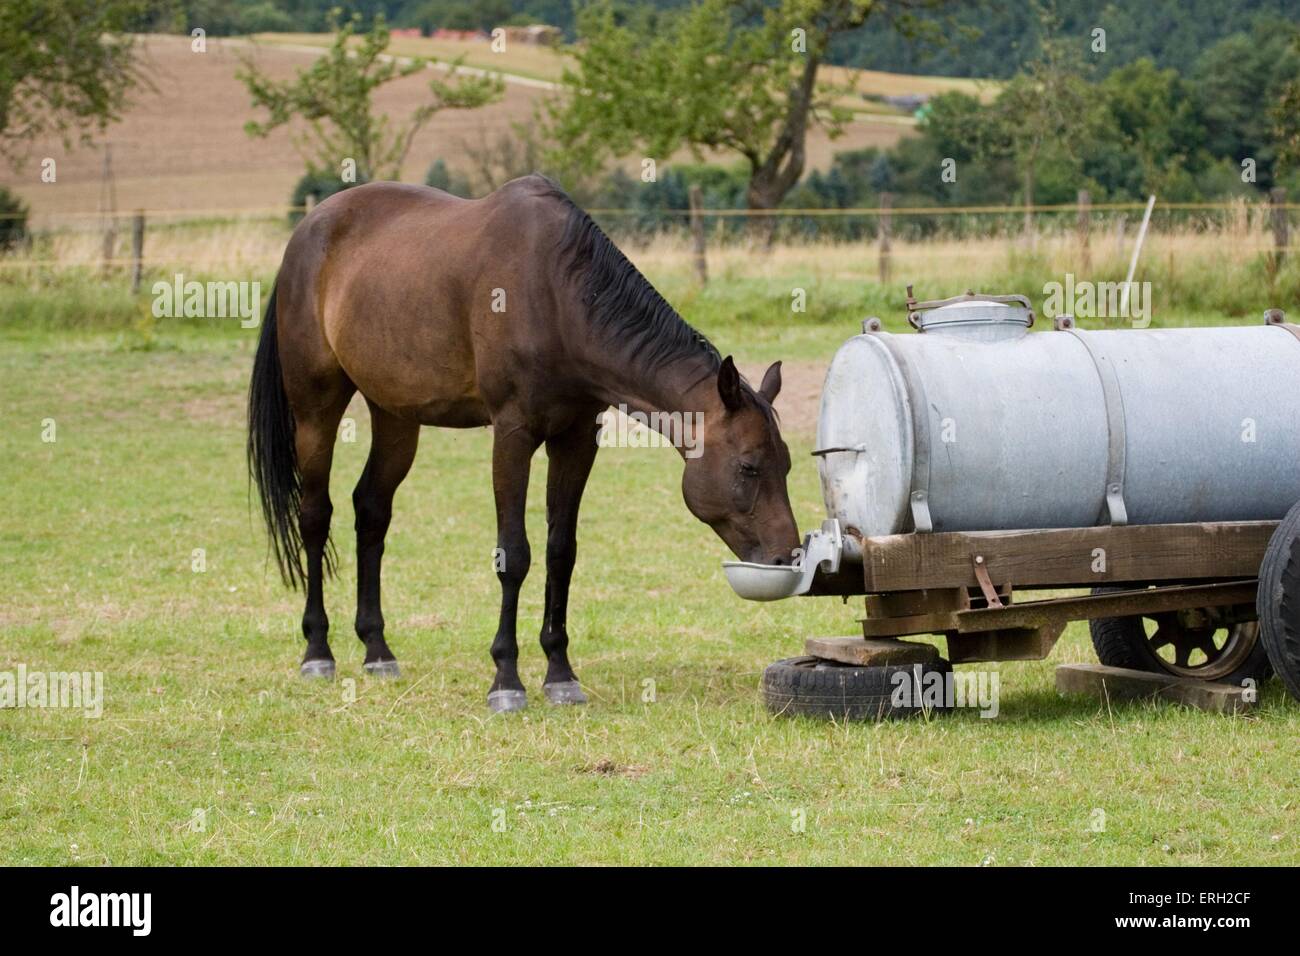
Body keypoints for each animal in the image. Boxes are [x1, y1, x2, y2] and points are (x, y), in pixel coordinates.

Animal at [247, 174, 800, 712]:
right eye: (749, 467)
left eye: (787, 466)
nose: (787, 559)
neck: (555, 297)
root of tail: (308, 231)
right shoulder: (513, 436)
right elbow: (514, 555)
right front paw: (506, 680)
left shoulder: (576, 439)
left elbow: (561, 551)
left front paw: (560, 674)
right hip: (316, 409)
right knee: (314, 515)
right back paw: (318, 651)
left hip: (395, 416)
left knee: (371, 511)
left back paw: (377, 649)